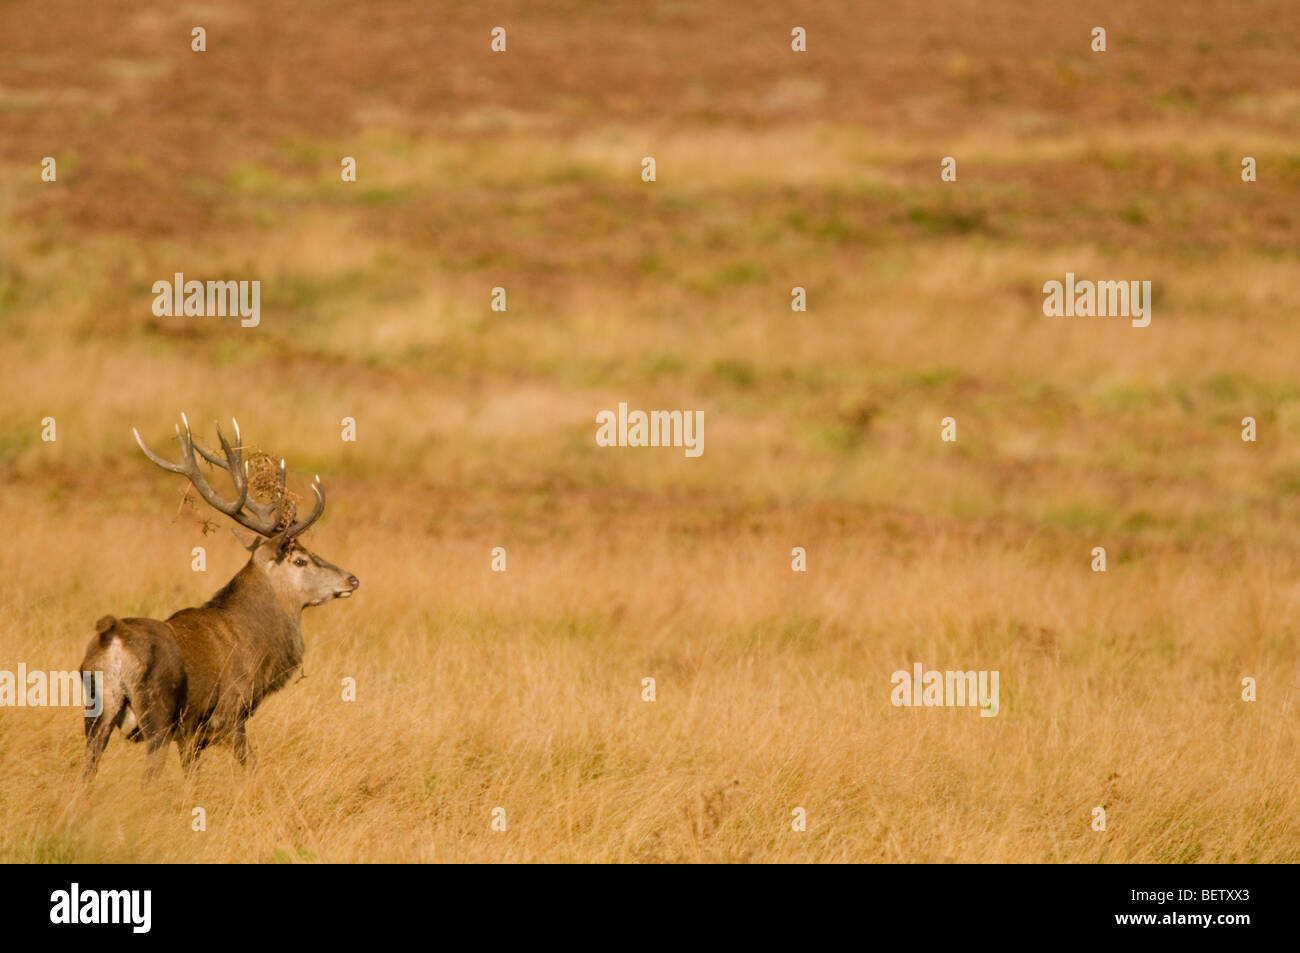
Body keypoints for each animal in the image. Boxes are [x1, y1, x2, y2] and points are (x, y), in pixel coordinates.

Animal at [79, 416, 359, 780]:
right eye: (300, 559)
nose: (351, 578)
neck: (258, 648)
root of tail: (112, 638)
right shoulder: (226, 713)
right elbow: (248, 765)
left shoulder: (193, 731)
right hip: (158, 714)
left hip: (95, 712)